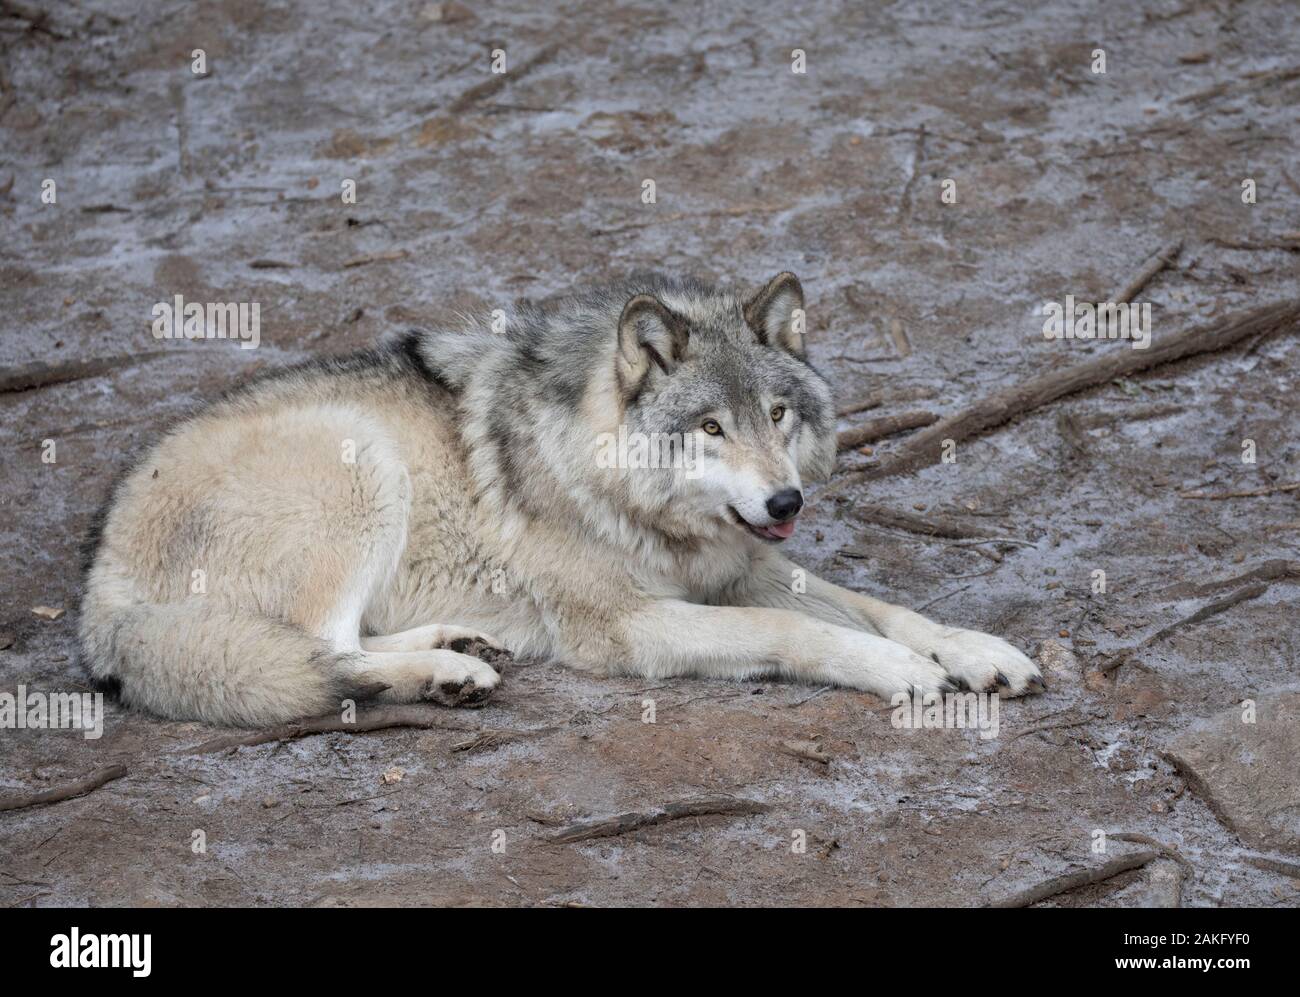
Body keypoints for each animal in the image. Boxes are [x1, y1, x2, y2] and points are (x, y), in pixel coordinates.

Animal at [80, 272, 1043, 727]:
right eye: (711, 428)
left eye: (775, 413)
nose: (784, 501)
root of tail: (100, 591)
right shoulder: (631, 625)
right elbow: (796, 629)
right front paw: (900, 670)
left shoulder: (738, 569)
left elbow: (883, 607)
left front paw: (977, 649)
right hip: (361, 463)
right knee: (324, 650)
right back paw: (450, 674)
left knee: (336, 642)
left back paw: (460, 643)